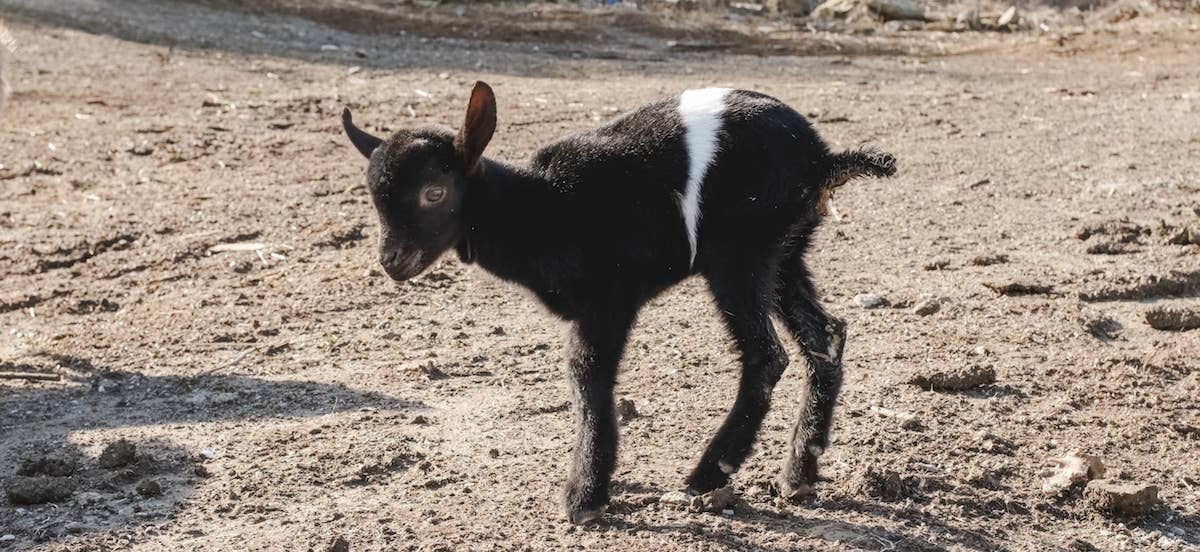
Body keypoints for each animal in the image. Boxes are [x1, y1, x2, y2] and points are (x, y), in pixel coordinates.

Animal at [342, 82, 896, 524]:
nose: (392, 261)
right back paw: (799, 472)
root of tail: (822, 160)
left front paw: (585, 499)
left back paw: (709, 473)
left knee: (767, 354)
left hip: (742, 252)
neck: (543, 204)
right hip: (784, 248)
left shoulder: (611, 296)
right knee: (826, 335)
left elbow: (587, 374)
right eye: (373, 198)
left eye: (434, 192)